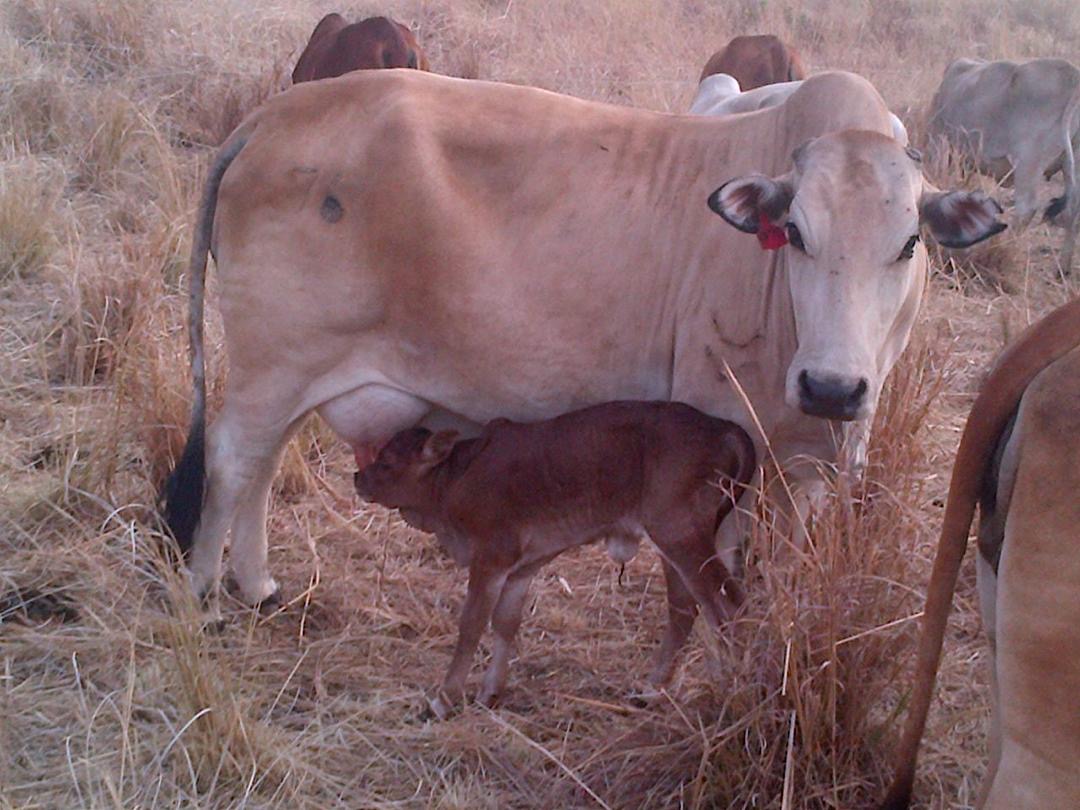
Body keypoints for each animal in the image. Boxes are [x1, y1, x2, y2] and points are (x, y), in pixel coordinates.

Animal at [354, 401, 755, 717]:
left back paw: (734, 691)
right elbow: (506, 622)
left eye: (387, 462)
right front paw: (489, 692)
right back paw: (650, 691)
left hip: (681, 536)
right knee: (686, 609)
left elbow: (471, 625)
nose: (358, 477)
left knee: (727, 607)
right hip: (676, 543)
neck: (454, 480)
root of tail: (725, 428)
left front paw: (443, 700)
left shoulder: (491, 557)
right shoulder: (522, 566)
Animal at [927, 57, 1080, 272]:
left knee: (1026, 208)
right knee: (1074, 209)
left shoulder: (938, 147)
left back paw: (1002, 246)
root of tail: (1073, 77)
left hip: (1028, 162)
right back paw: (1062, 268)